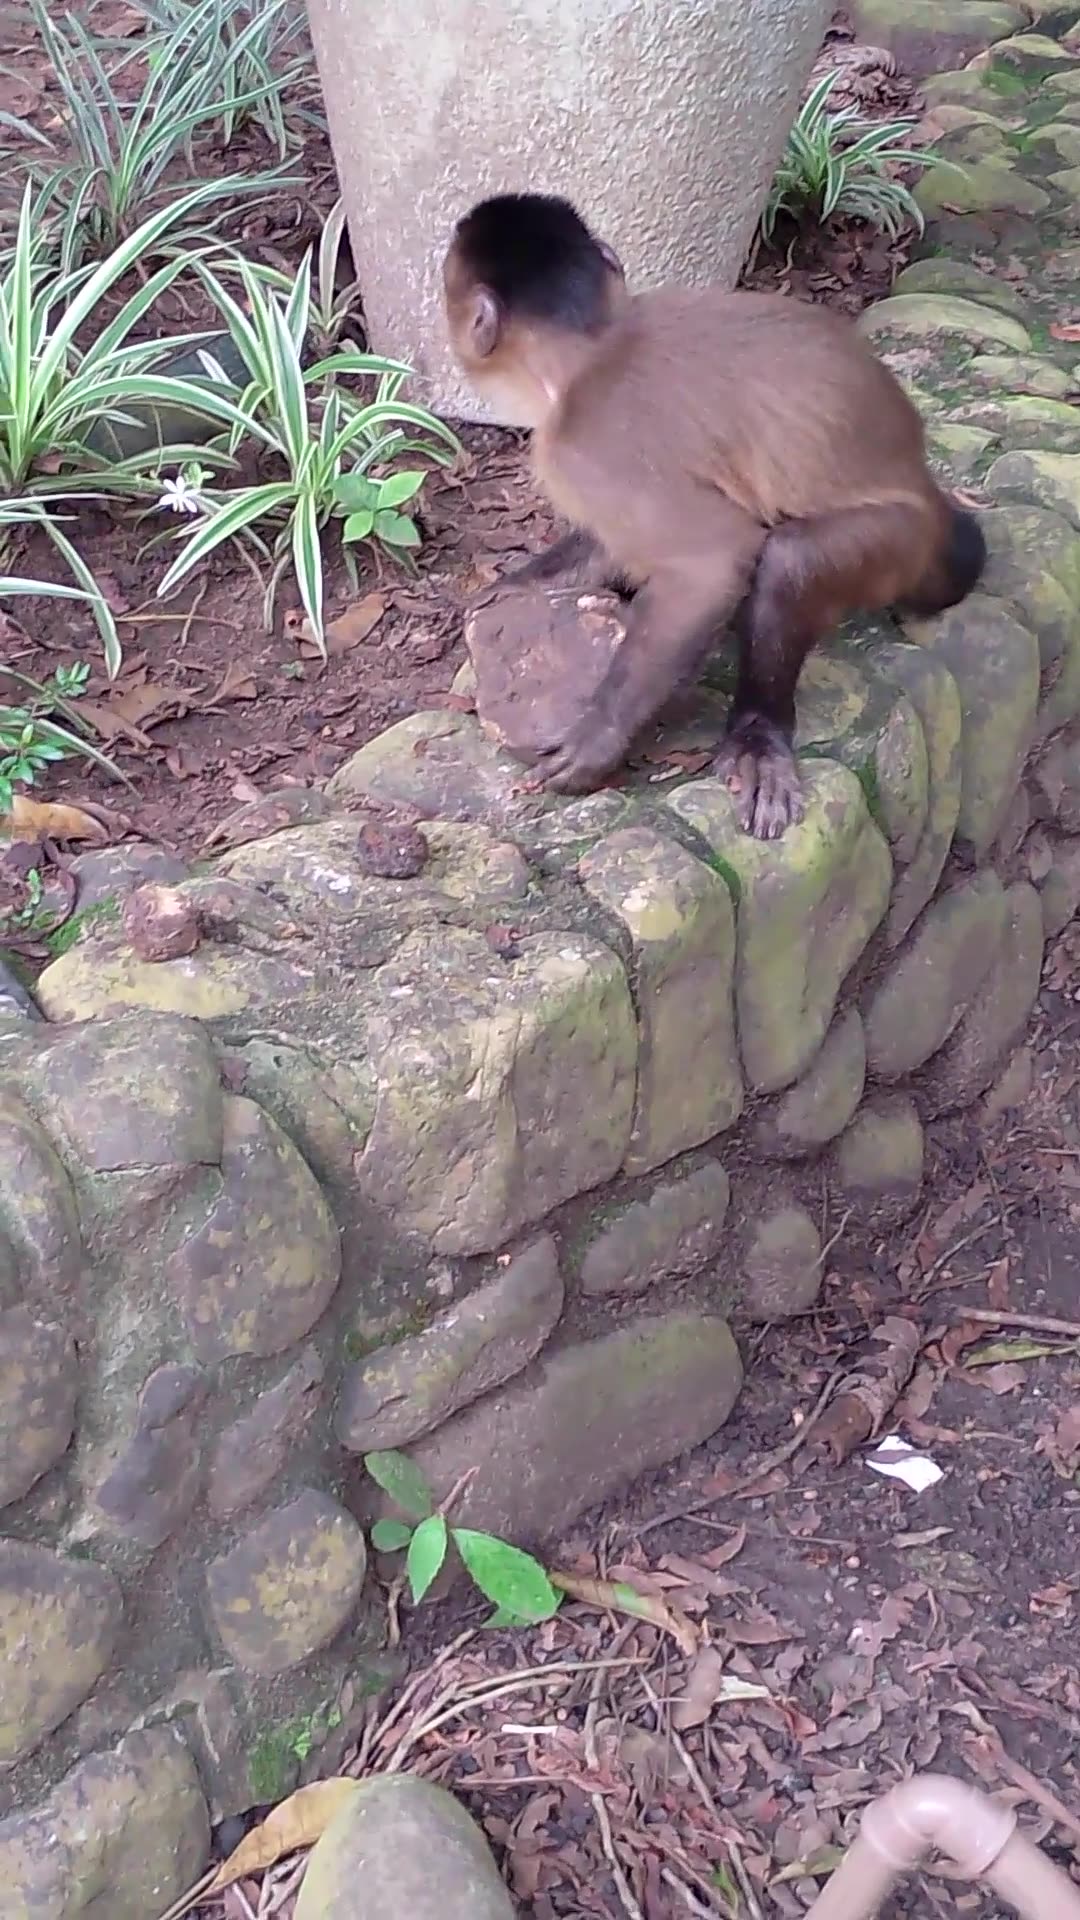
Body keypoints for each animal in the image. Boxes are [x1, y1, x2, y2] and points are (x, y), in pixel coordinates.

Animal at [442, 193, 985, 839]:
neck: (596, 348)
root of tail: (924, 485)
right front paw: (519, 585)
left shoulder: (578, 449)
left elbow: (711, 560)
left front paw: (599, 740)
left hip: (898, 544)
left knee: (791, 557)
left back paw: (758, 733)